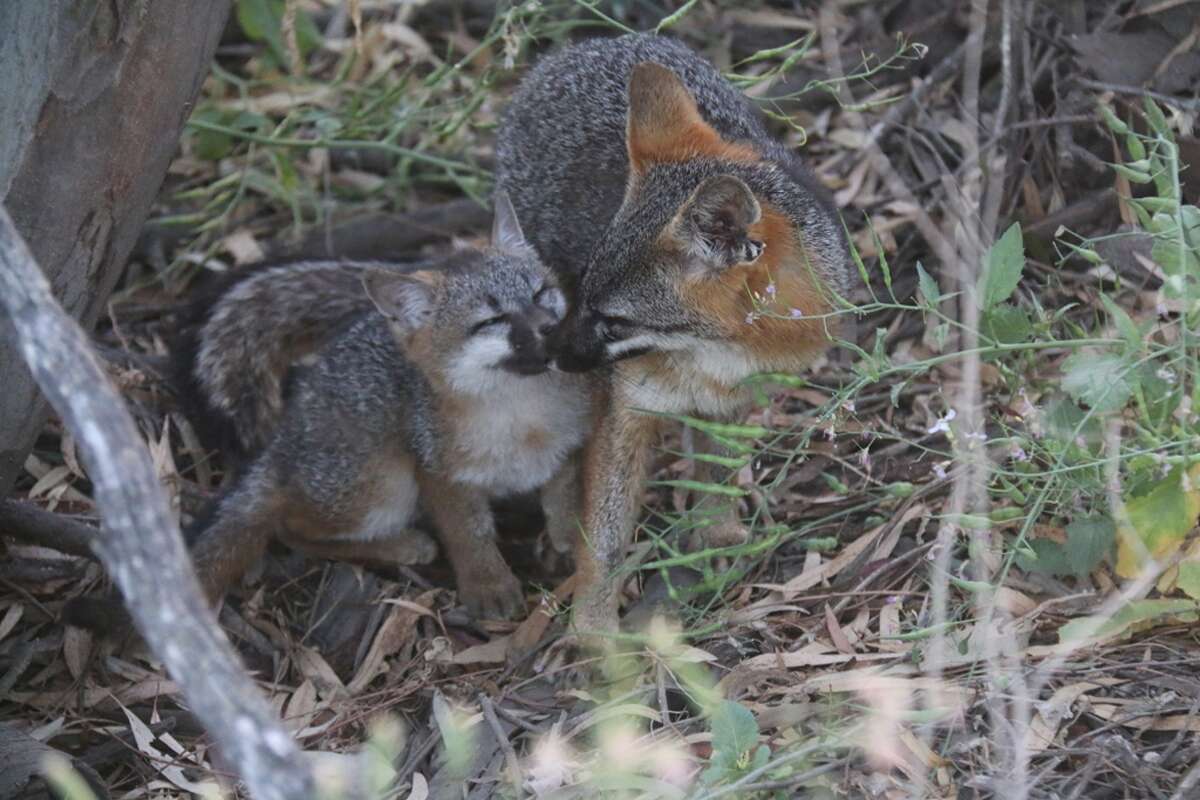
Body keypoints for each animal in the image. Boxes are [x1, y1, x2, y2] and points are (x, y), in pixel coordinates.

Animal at [70, 195, 594, 630]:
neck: (523, 422)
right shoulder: (439, 476)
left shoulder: (568, 449)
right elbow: (471, 535)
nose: (552, 329)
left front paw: (573, 545)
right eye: (492, 322)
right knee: (294, 530)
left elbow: (563, 500)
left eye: (540, 294)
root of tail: (281, 445)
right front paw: (489, 585)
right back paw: (400, 544)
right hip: (385, 483)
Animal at [495, 35, 851, 643]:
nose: (554, 357)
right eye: (583, 296)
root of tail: (583, 47)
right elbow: (606, 535)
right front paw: (594, 629)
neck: (712, 356)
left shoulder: (738, 399)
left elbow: (716, 473)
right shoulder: (624, 409)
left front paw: (713, 537)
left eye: (615, 321)